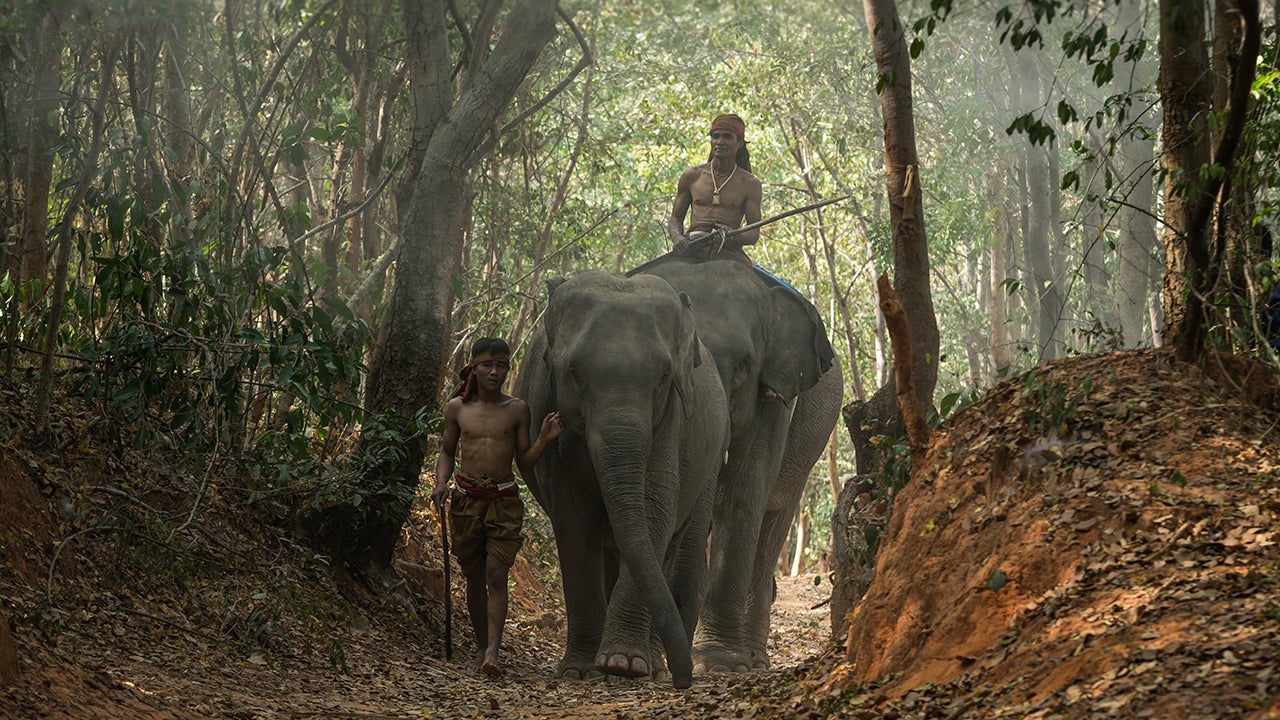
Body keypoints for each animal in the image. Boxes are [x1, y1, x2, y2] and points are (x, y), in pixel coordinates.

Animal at [516, 270, 730, 689]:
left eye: (664, 376)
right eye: (574, 373)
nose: (685, 680)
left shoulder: (673, 421)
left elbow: (654, 507)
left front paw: (623, 664)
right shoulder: (545, 406)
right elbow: (574, 521)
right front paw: (580, 670)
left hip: (711, 460)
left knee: (679, 544)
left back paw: (654, 665)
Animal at [641, 256, 843, 673]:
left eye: (745, 365)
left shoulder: (778, 392)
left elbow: (743, 491)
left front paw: (721, 663)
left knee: (773, 524)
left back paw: (754, 657)